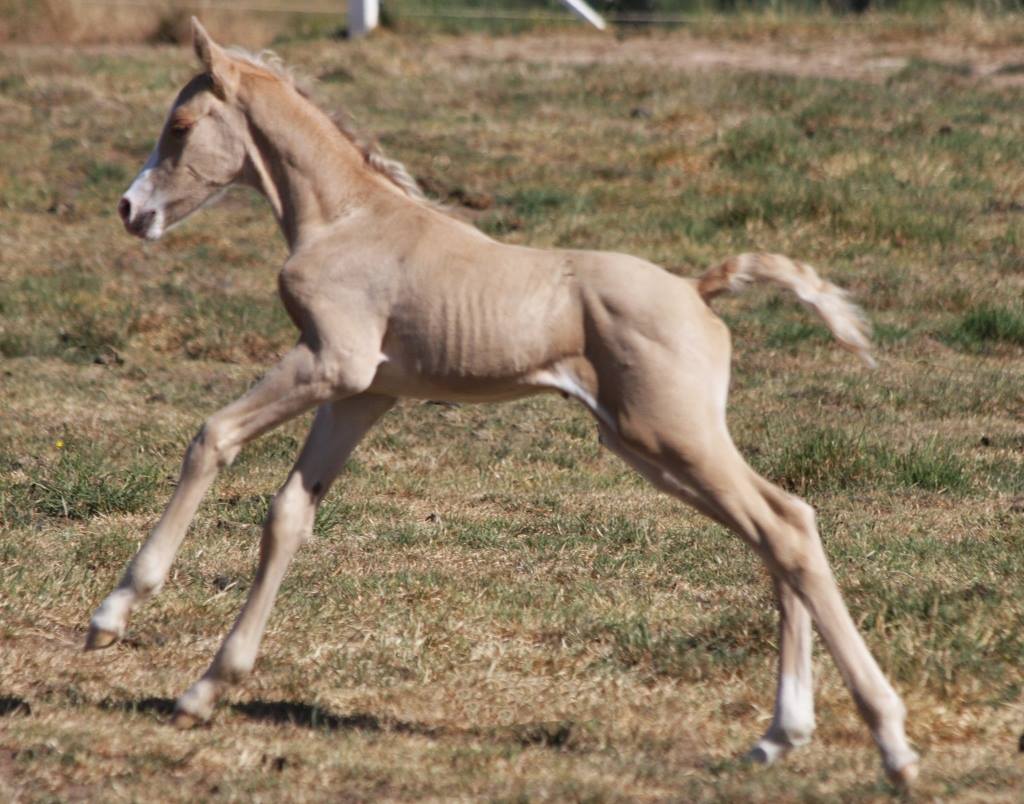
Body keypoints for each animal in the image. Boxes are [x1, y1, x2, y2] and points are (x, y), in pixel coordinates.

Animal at [86, 18, 919, 787]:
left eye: (180, 126)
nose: (128, 209)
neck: (348, 217)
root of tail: (696, 289)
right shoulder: (365, 395)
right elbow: (290, 514)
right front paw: (204, 690)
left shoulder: (330, 363)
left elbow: (211, 437)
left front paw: (113, 615)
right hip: (651, 446)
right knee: (780, 526)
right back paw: (781, 735)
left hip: (672, 436)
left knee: (785, 528)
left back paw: (891, 745)